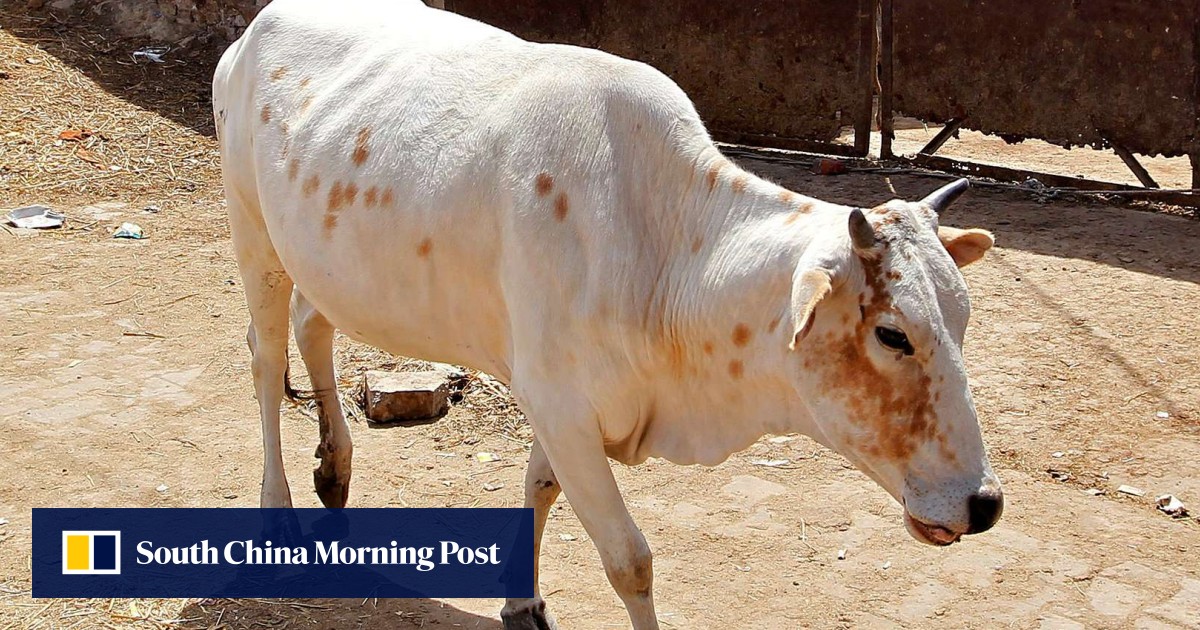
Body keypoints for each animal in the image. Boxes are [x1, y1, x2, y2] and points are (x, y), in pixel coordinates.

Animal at [213, 0, 1003, 627]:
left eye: (962, 319)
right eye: (893, 334)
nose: (985, 503)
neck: (663, 249)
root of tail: (255, 26)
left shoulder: (565, 407)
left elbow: (538, 488)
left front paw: (523, 602)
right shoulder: (559, 403)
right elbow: (629, 558)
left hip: (319, 257)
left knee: (313, 326)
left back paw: (334, 471)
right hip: (252, 233)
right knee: (264, 358)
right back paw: (280, 506)